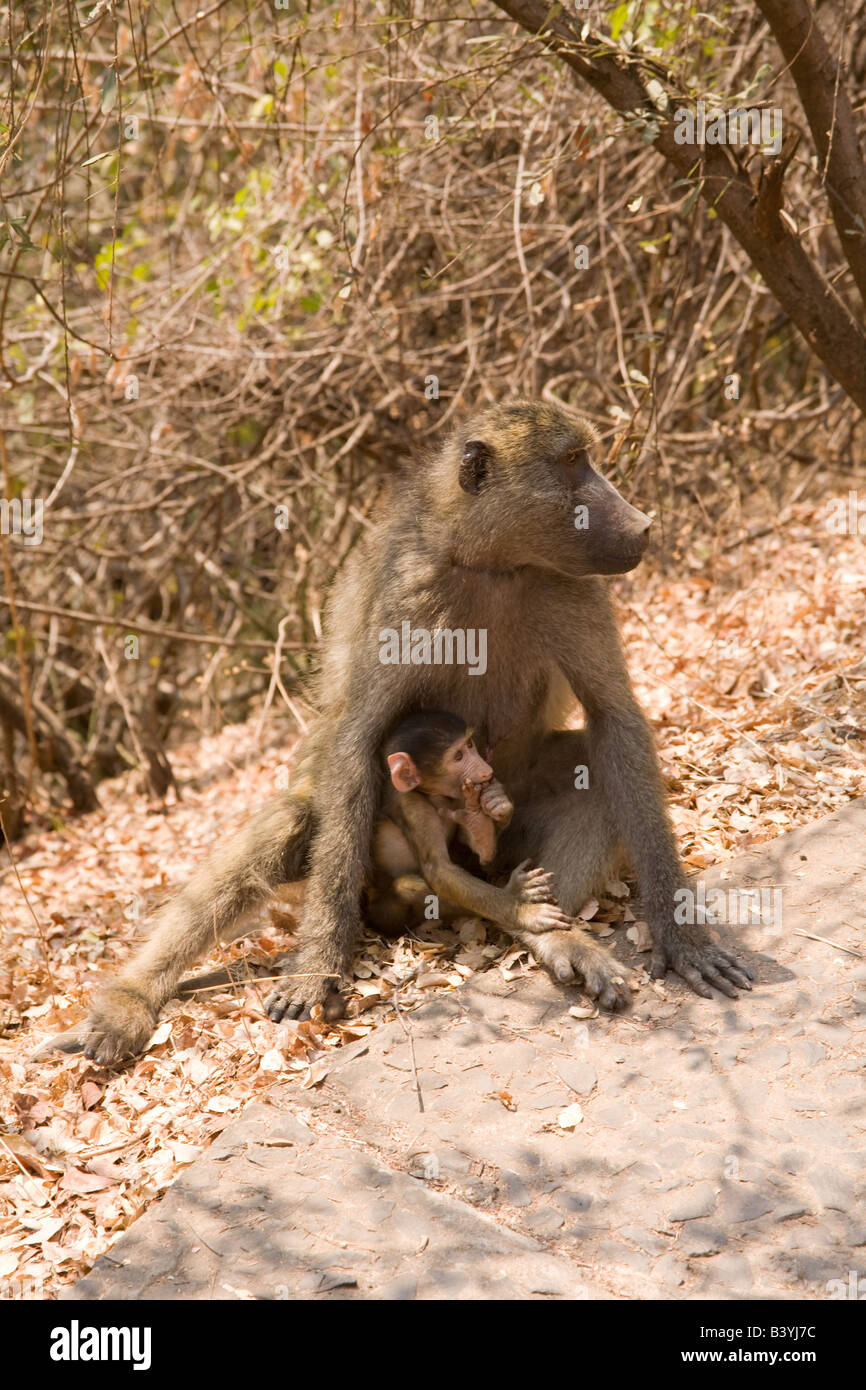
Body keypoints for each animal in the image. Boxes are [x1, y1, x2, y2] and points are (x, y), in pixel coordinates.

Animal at [70, 397, 752, 1066]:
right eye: (572, 462)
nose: (642, 525)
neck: (490, 564)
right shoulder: (405, 594)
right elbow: (357, 736)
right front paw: (319, 965)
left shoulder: (571, 587)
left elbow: (614, 720)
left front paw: (680, 935)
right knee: (296, 817)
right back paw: (132, 999)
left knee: (592, 778)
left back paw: (557, 938)